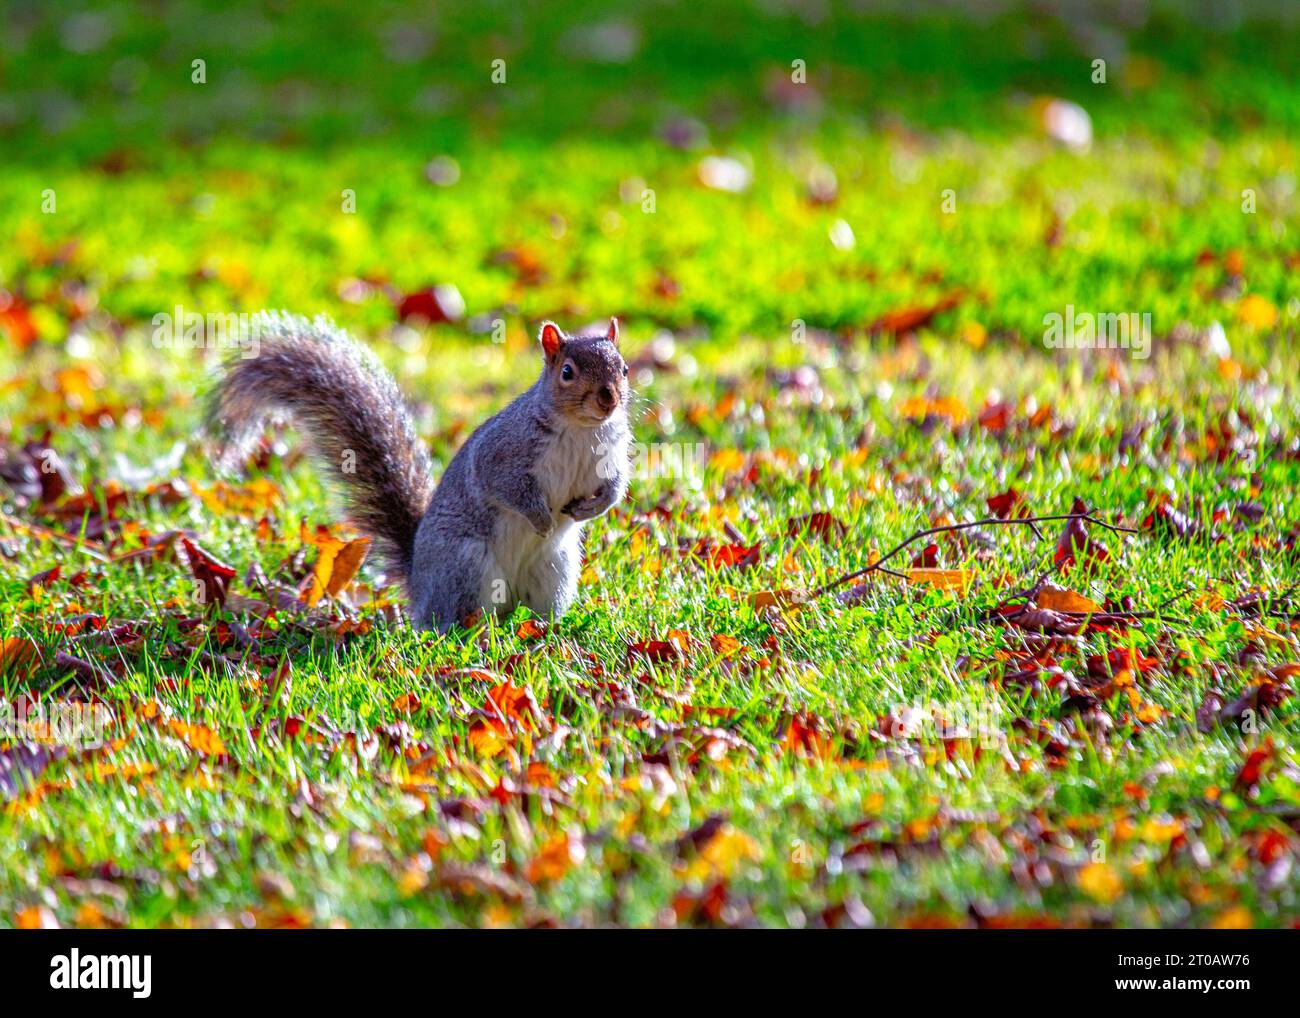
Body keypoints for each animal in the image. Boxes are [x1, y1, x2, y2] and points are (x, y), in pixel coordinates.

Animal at [208, 312, 631, 632]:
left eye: (624, 369)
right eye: (568, 372)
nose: (608, 399)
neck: (581, 429)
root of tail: (419, 582)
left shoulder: (612, 454)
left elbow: (614, 487)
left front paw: (591, 509)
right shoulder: (502, 453)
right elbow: (506, 487)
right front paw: (540, 517)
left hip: (554, 571)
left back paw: (544, 629)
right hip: (464, 563)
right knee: (452, 617)